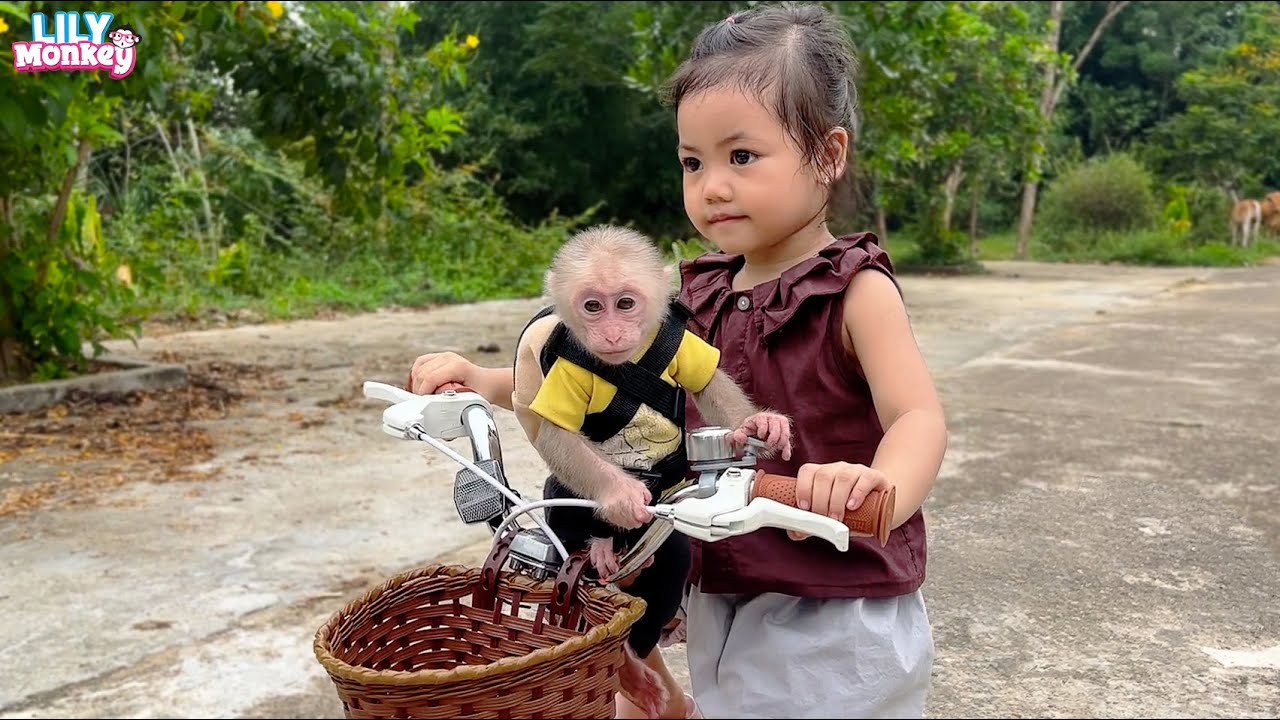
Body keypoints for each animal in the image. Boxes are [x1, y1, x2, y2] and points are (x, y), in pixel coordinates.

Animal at [511, 224, 792, 718]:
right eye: (593, 306)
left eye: (625, 303)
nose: (611, 331)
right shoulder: (566, 369)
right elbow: (557, 435)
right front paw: (621, 496)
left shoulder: (681, 344)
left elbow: (710, 382)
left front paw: (759, 425)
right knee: (568, 517)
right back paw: (601, 550)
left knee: (670, 567)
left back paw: (631, 660)